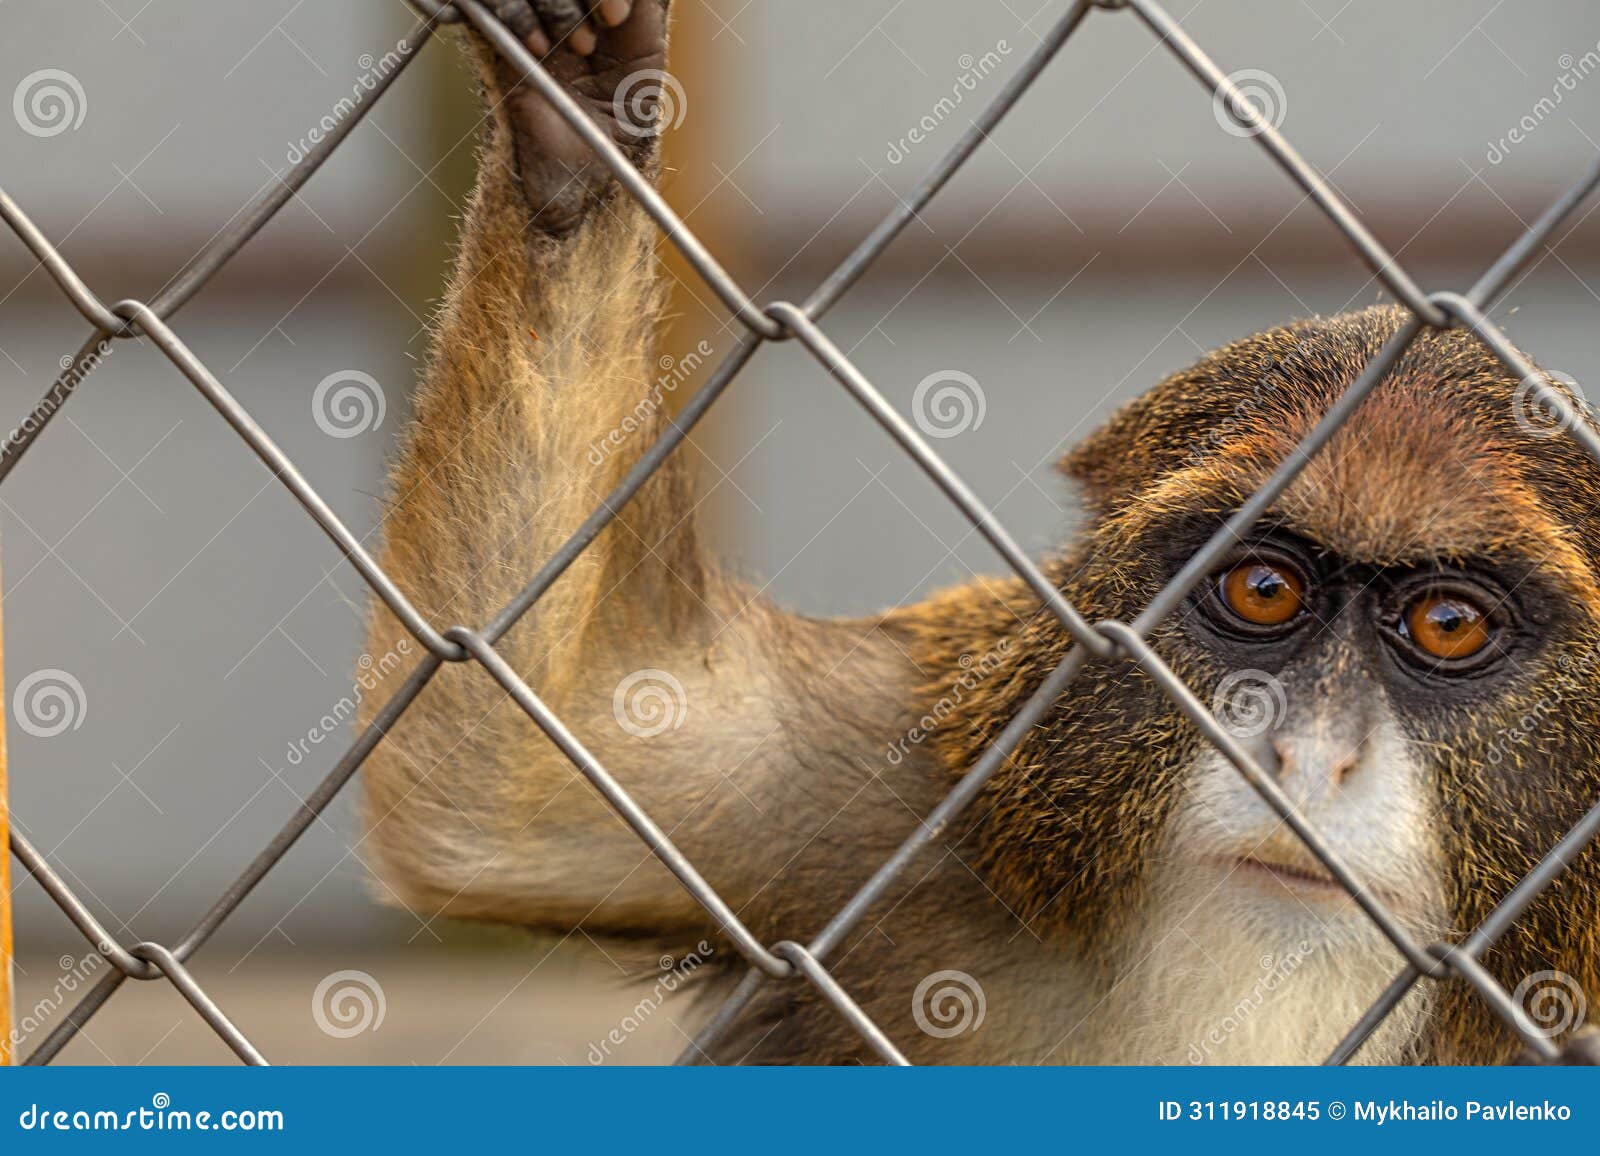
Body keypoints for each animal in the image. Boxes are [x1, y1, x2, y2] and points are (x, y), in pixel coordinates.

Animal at [357, 0, 1600, 1064]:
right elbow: (500, 785)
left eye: (1446, 624)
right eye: (1263, 594)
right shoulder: (926, 754)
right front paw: (578, 110)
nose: (1310, 757)